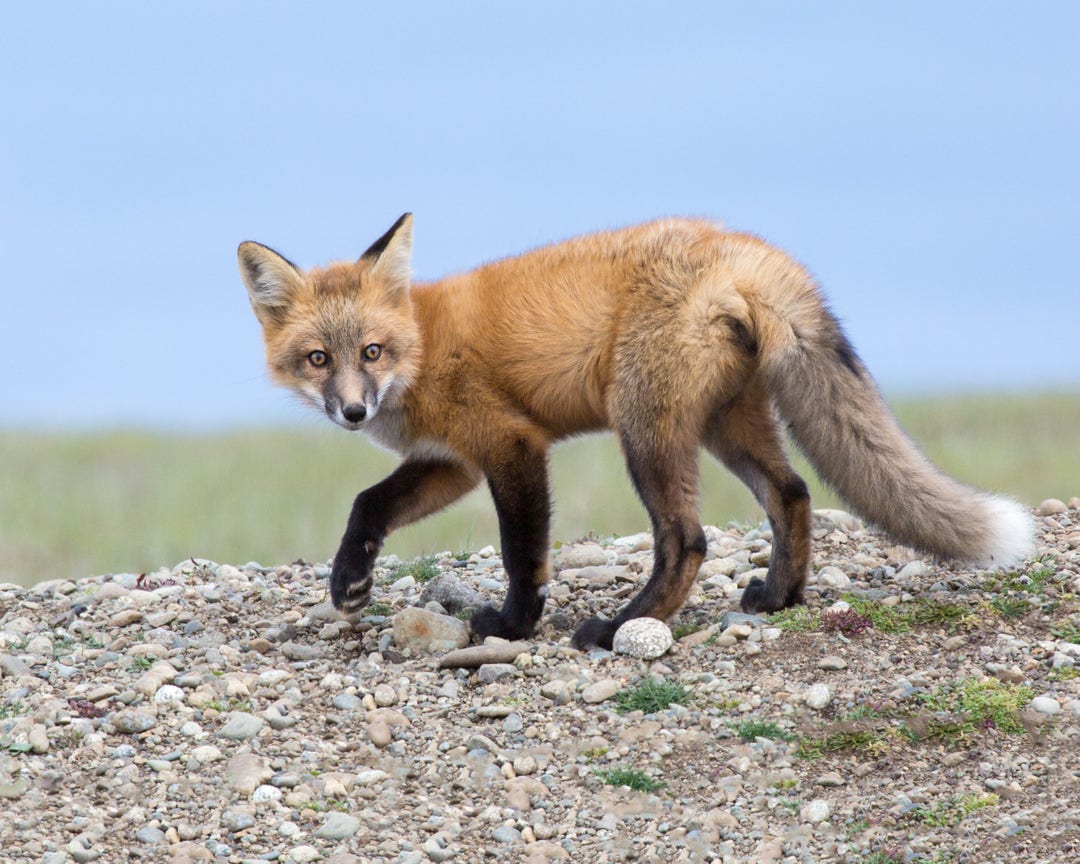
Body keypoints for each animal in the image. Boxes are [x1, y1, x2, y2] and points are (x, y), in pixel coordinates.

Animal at [237, 213, 1033, 650]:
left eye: (372, 352)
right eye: (318, 358)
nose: (353, 412)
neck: (425, 346)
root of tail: (737, 244)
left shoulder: (510, 445)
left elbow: (522, 554)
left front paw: (513, 627)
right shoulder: (453, 461)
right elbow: (366, 504)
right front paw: (348, 582)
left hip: (643, 429)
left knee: (687, 539)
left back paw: (621, 627)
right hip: (724, 426)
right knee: (793, 493)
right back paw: (777, 597)